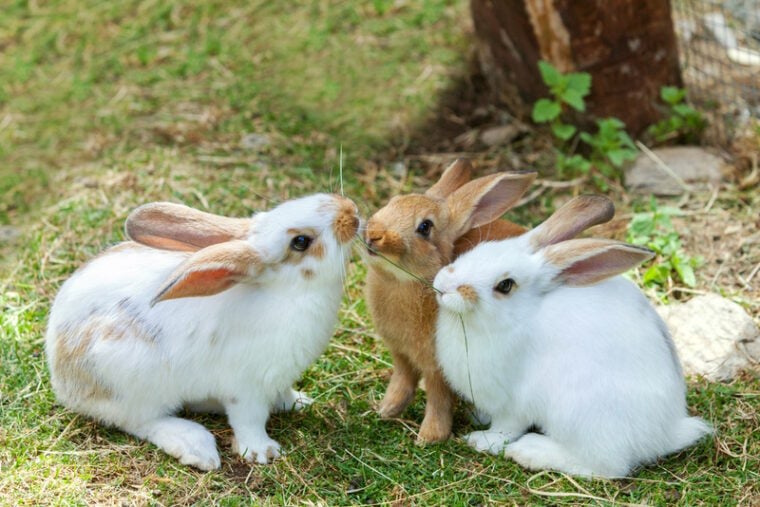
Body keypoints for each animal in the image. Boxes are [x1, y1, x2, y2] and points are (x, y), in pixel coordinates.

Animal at [45, 194, 359, 470]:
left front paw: (297, 403)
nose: (352, 212)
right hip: (132, 381)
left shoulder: (277, 379)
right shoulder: (246, 388)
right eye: (301, 242)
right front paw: (262, 452)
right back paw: (195, 445)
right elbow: (249, 421)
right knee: (140, 421)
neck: (287, 292)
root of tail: (60, 374)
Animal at [364, 159, 536, 443]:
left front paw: (429, 437)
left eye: (425, 227)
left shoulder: (440, 369)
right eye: (393, 201)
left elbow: (439, 399)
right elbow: (402, 381)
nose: (374, 234)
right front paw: (386, 410)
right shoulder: (401, 355)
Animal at [433, 195, 712, 477]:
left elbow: (506, 428)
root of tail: (667, 432)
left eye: (505, 285)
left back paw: (531, 451)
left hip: (579, 413)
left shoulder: (512, 401)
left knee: (605, 466)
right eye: (481, 249)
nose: (442, 286)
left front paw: (481, 440)